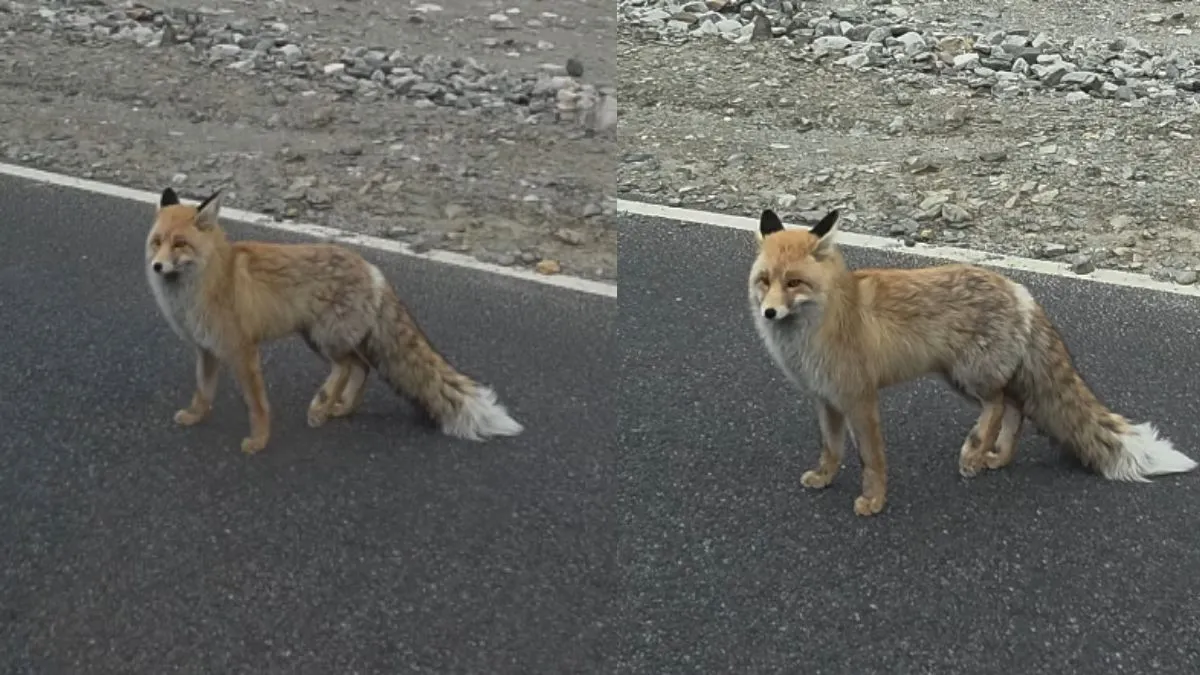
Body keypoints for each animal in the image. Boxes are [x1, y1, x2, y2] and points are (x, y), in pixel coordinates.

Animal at [145, 186, 523, 455]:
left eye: (180, 244)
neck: (205, 284)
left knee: (345, 368)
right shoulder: (206, 349)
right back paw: (337, 409)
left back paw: (322, 406)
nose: (157, 266)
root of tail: (373, 270)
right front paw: (195, 416)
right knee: (360, 368)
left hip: (323, 338)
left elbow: (257, 405)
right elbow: (203, 391)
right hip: (321, 338)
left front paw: (259, 442)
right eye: (157, 242)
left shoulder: (243, 350)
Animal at [748, 207, 1197, 517]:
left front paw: (873, 501)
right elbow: (831, 450)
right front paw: (824, 478)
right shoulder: (825, 399)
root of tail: (1020, 290)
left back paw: (975, 452)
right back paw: (995, 457)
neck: (818, 328)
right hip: (967, 377)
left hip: (967, 377)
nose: (768, 313)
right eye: (765, 281)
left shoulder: (860, 398)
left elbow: (871, 460)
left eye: (794, 283)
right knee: (1016, 408)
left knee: (998, 406)